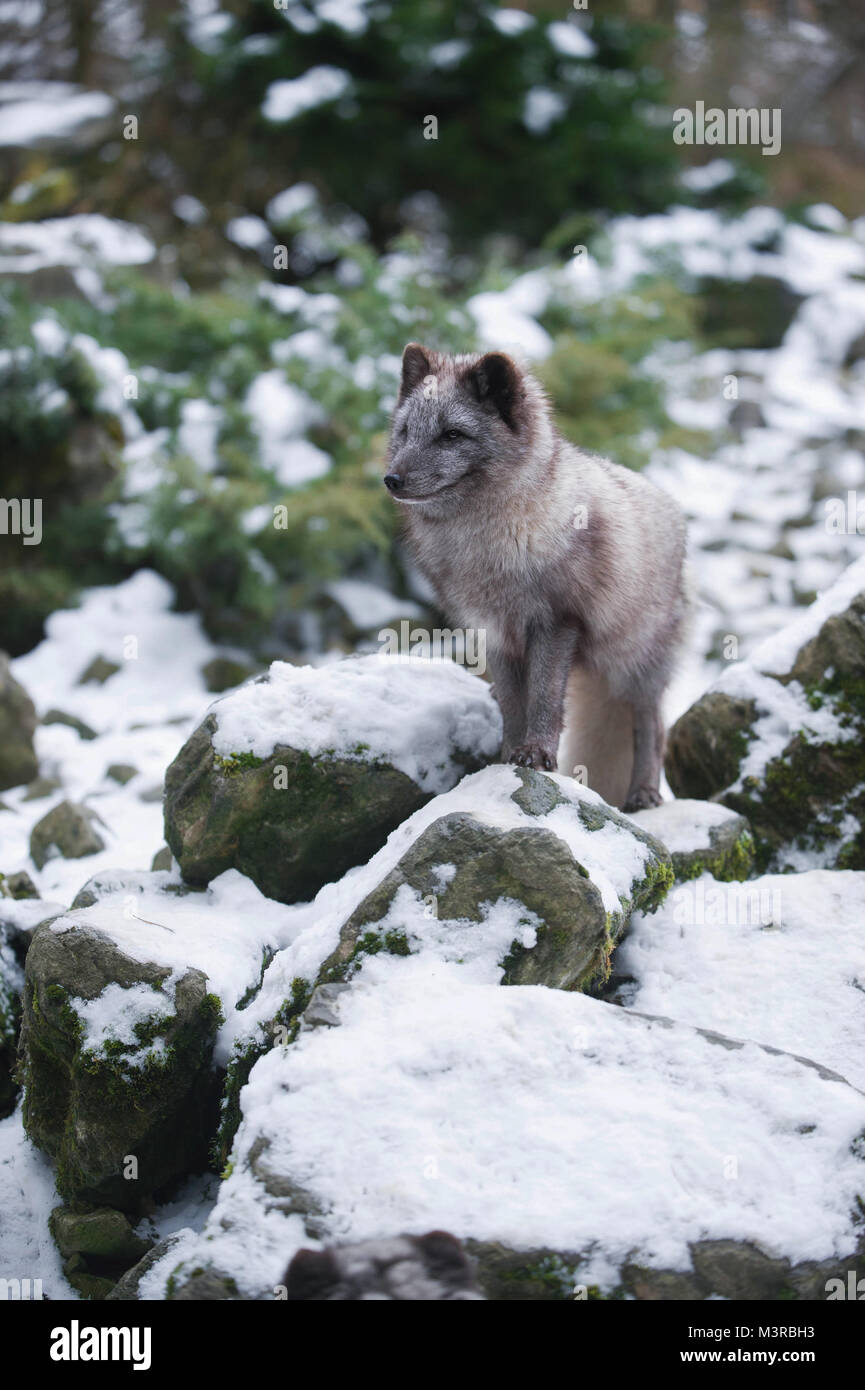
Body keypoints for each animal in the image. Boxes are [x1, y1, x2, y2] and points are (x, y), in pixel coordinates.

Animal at [384, 343, 689, 812]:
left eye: (451, 435)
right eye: (404, 431)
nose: (391, 479)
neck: (485, 540)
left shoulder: (556, 621)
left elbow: (544, 697)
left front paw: (538, 754)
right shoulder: (494, 629)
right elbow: (514, 703)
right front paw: (508, 757)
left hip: (635, 665)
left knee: (652, 728)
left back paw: (644, 794)